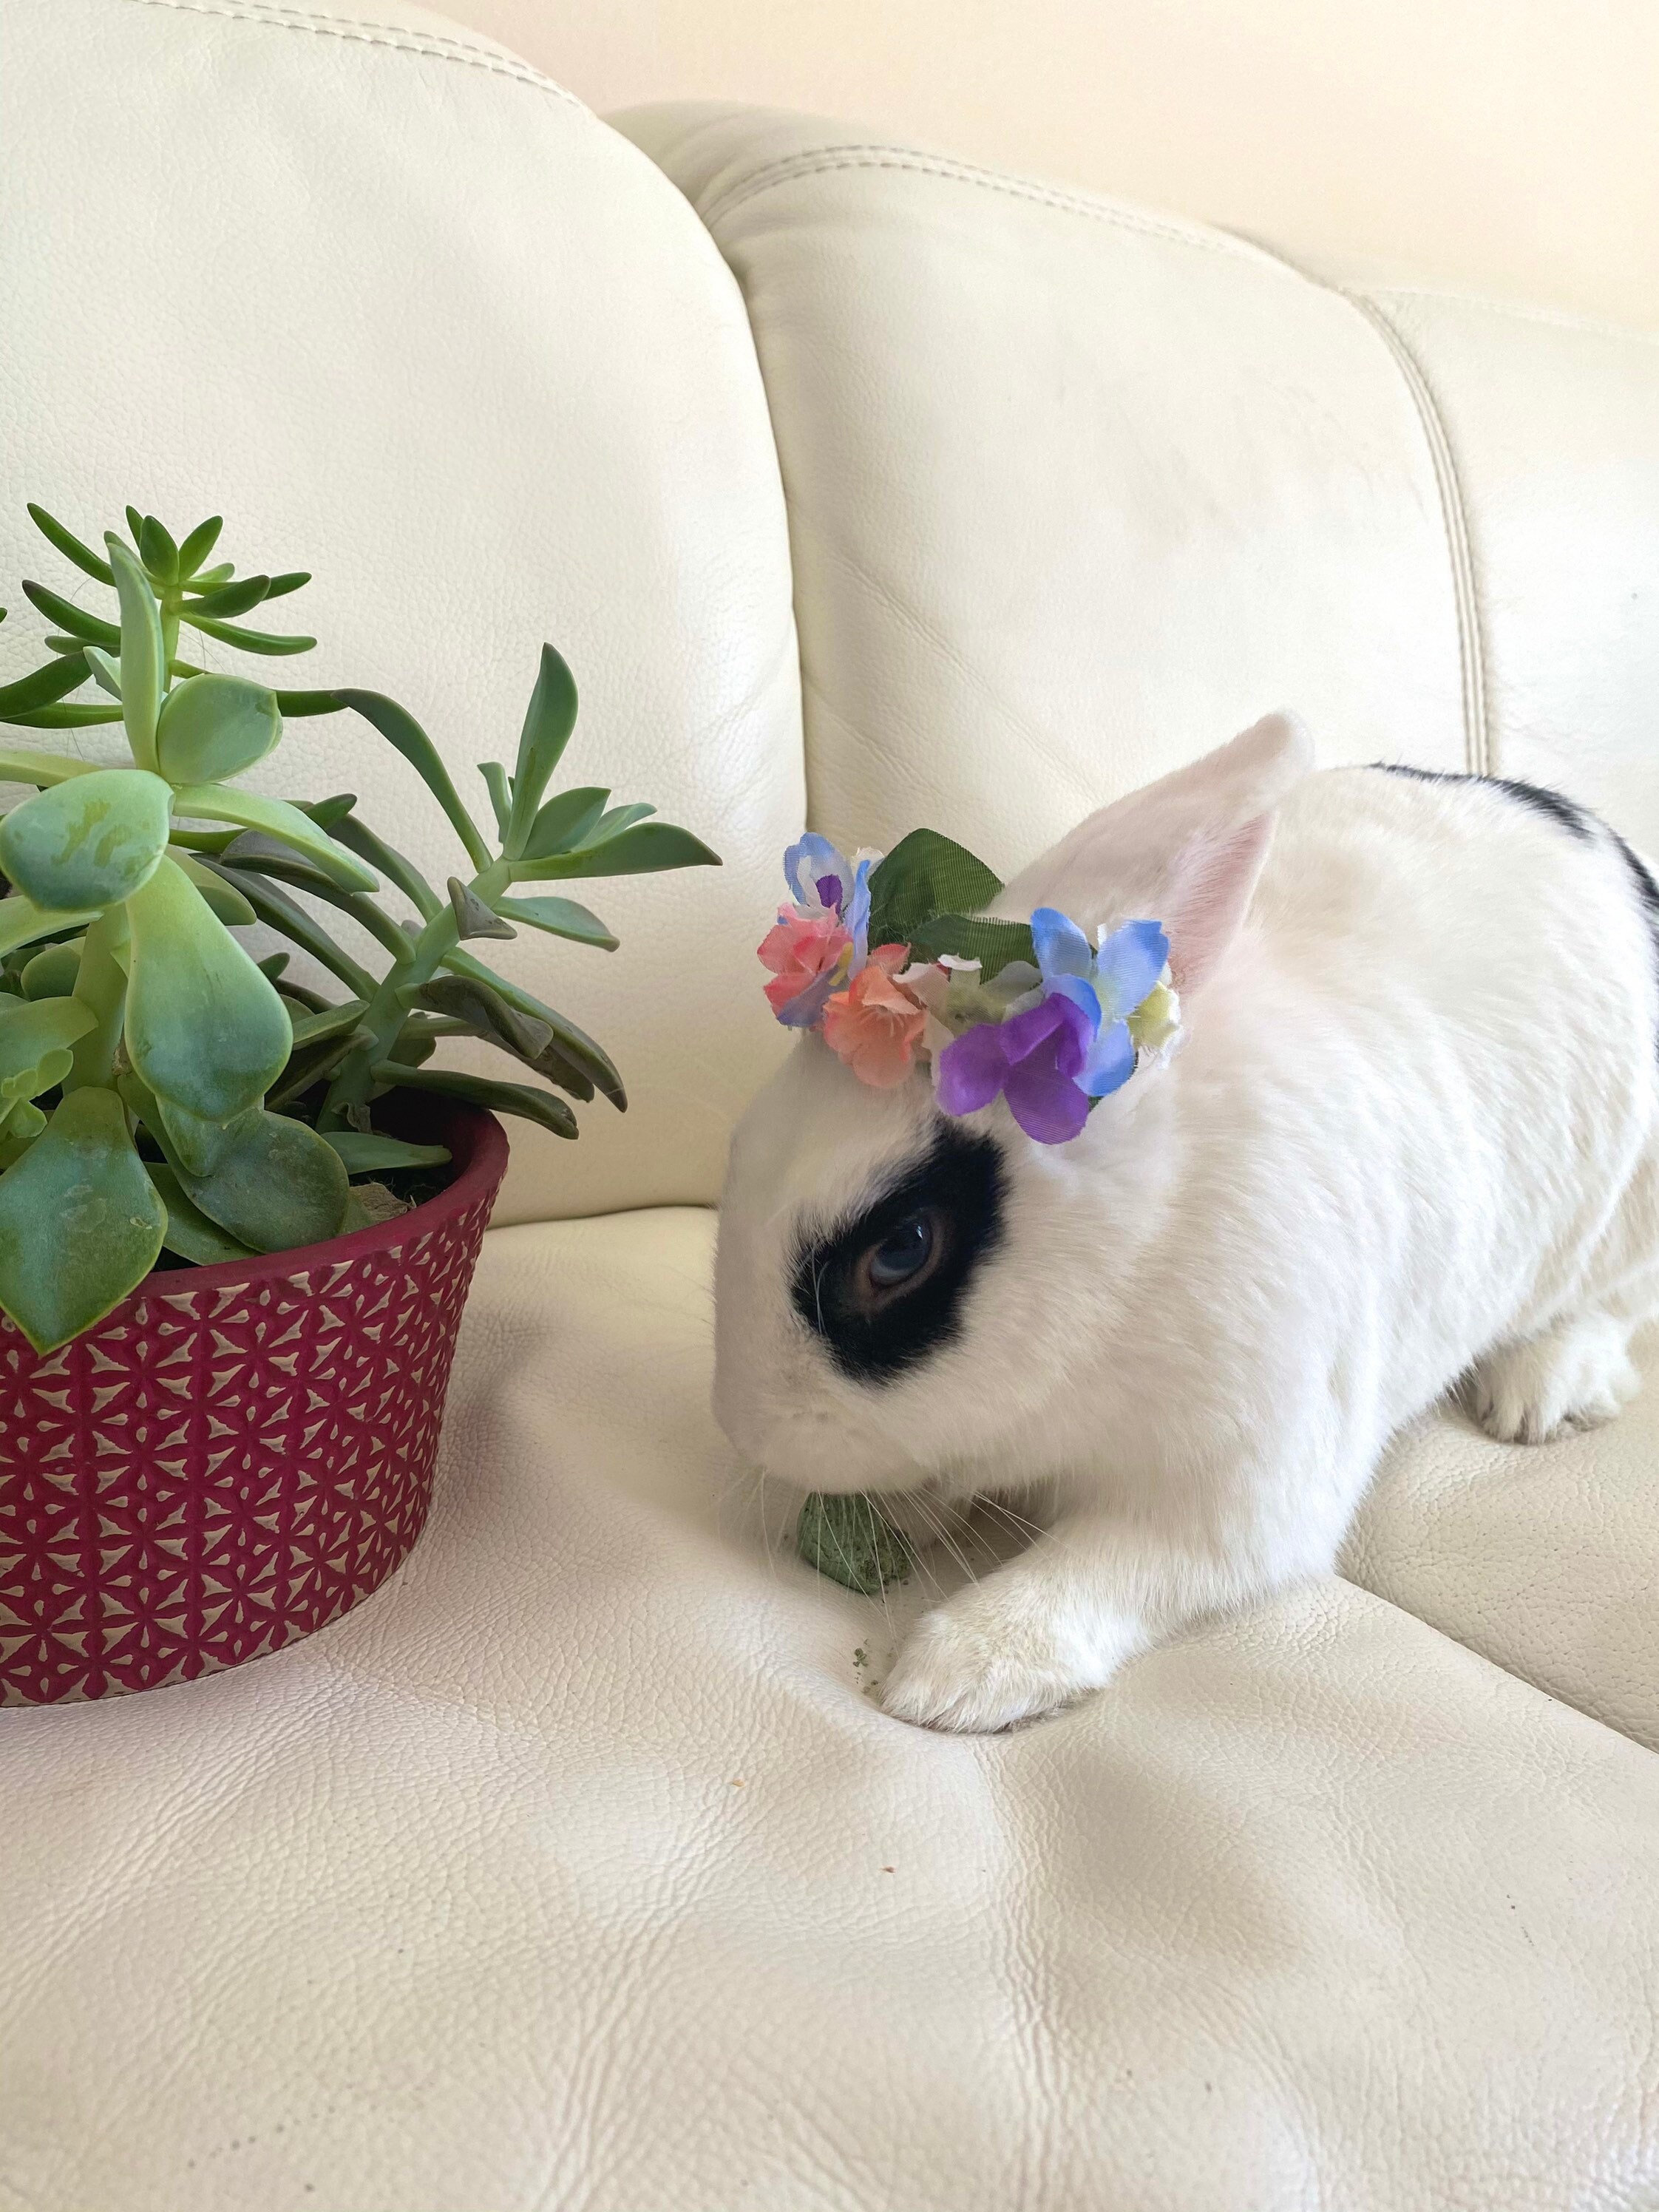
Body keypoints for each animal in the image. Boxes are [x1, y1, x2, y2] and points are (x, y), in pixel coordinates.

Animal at [714, 713, 1659, 1732]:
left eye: (899, 1253)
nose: (744, 1429)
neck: (1136, 1248)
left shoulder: (1236, 1489)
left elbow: (1108, 1567)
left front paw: (957, 1672)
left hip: (1627, 1214)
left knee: (1608, 1307)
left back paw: (1541, 1393)